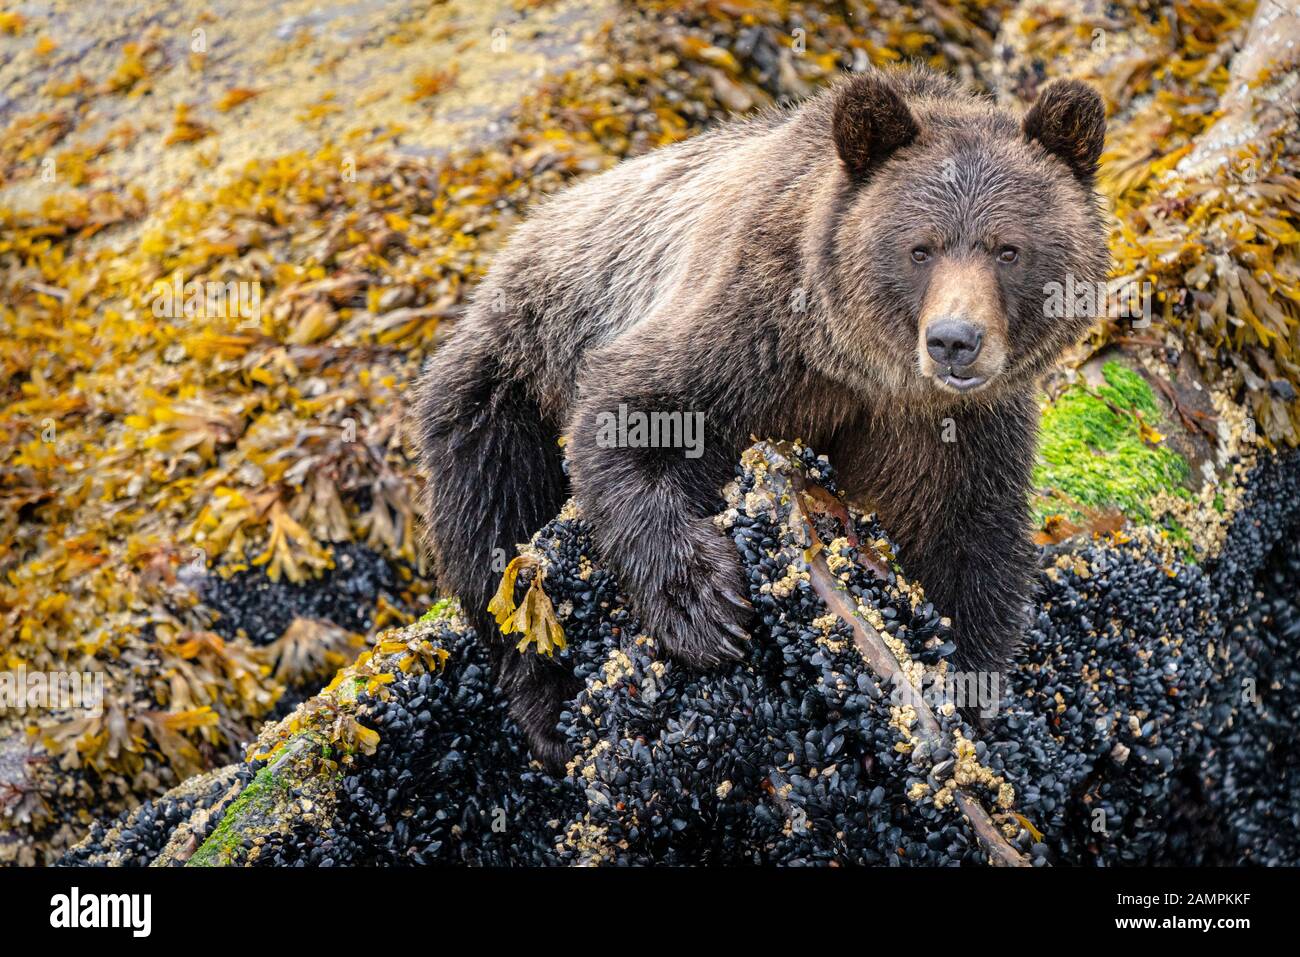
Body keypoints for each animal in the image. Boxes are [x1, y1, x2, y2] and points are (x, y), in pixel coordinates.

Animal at [411, 66, 1109, 769]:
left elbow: (965, 538)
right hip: (510, 373)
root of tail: (523, 235)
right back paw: (550, 708)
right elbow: (636, 417)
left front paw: (967, 692)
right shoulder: (747, 329)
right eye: (920, 249)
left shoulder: (945, 427)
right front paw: (705, 606)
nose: (953, 340)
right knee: (494, 528)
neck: (856, 367)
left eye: (1008, 249)